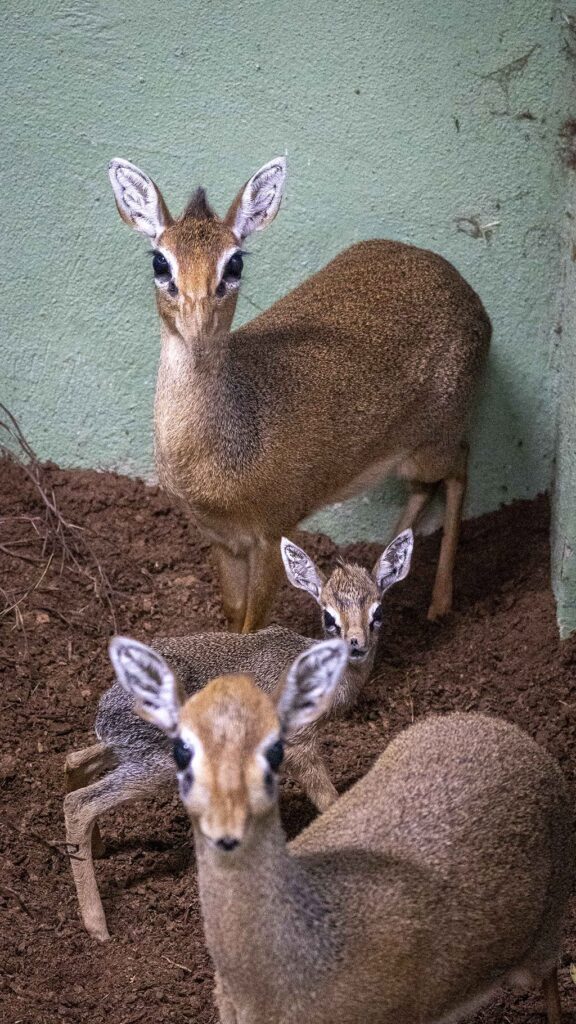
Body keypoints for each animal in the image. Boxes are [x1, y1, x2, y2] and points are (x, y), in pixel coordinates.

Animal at [64, 531, 413, 941]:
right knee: (79, 803)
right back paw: (98, 926)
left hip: (124, 751)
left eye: (378, 612)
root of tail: (105, 711)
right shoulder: (300, 746)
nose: (356, 643)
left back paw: (100, 850)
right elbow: (329, 800)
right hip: (157, 764)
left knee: (73, 762)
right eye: (329, 617)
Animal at [107, 156, 491, 632]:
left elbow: (253, 624)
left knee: (459, 467)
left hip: (437, 438)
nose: (198, 322)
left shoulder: (275, 531)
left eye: (234, 263)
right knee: (424, 487)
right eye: (161, 262)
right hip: (405, 454)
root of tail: (471, 297)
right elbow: (233, 614)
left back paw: (438, 603)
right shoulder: (222, 539)